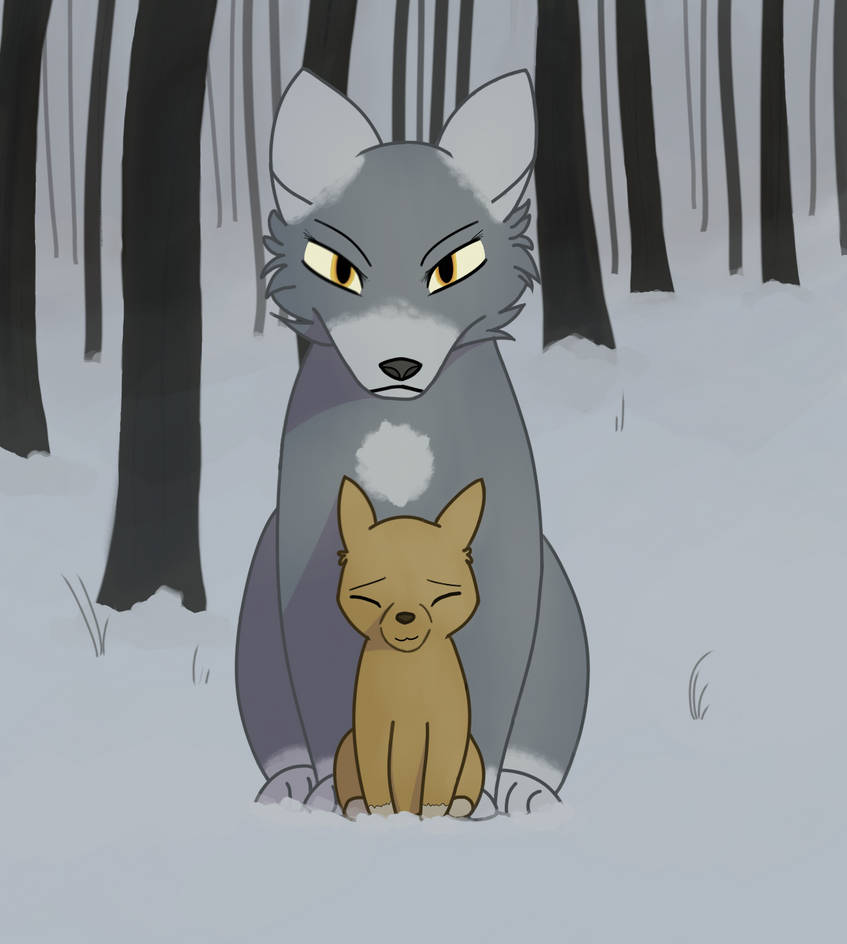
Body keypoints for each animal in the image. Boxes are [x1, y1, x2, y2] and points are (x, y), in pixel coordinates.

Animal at [333, 476, 486, 820]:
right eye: (369, 595)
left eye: (443, 593)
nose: (405, 616)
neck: (408, 668)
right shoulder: (370, 730)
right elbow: (376, 779)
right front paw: (382, 816)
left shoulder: (448, 730)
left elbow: (438, 785)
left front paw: (433, 817)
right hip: (347, 745)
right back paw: (359, 807)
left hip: (471, 752)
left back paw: (457, 807)